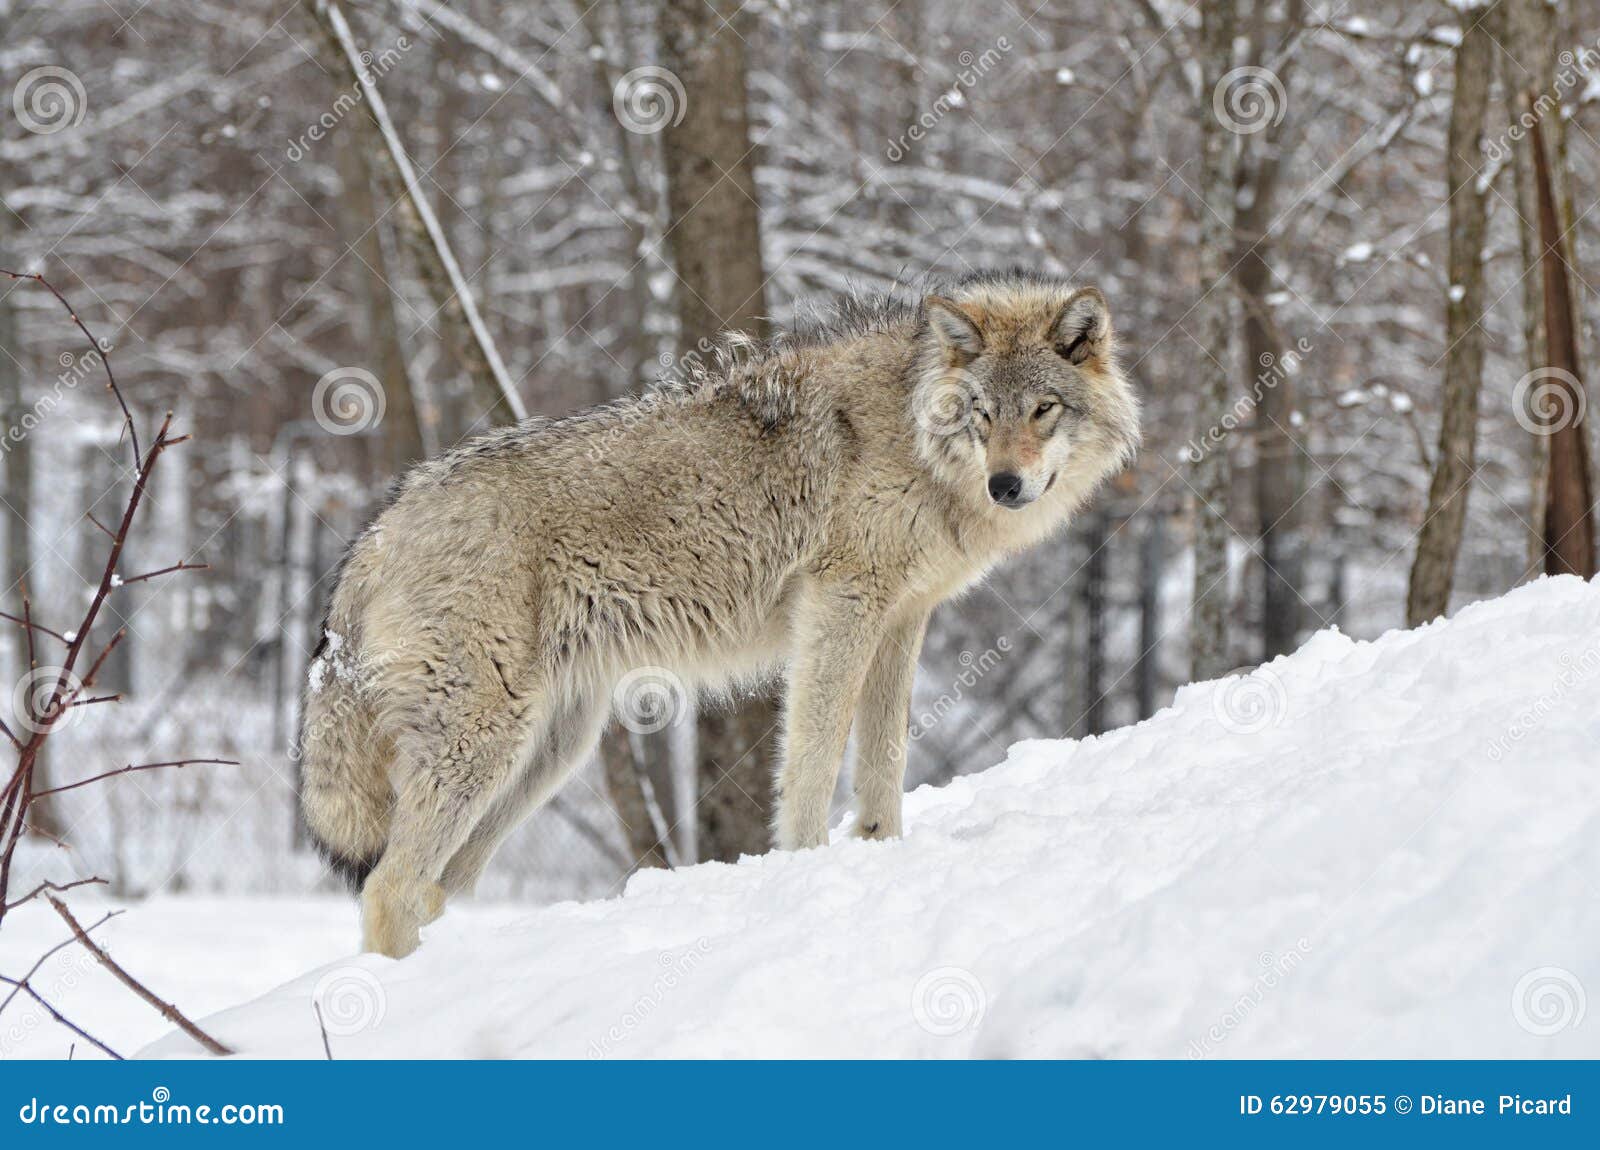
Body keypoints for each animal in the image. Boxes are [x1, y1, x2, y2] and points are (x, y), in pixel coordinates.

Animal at [298, 269, 1140, 957]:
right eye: (980, 413)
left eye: (1043, 409)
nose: (1006, 485)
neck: (914, 437)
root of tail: (379, 527)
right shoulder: (840, 607)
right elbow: (812, 763)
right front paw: (807, 870)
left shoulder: (903, 620)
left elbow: (882, 763)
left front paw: (880, 852)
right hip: (485, 745)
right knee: (388, 888)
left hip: (548, 751)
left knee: (433, 888)